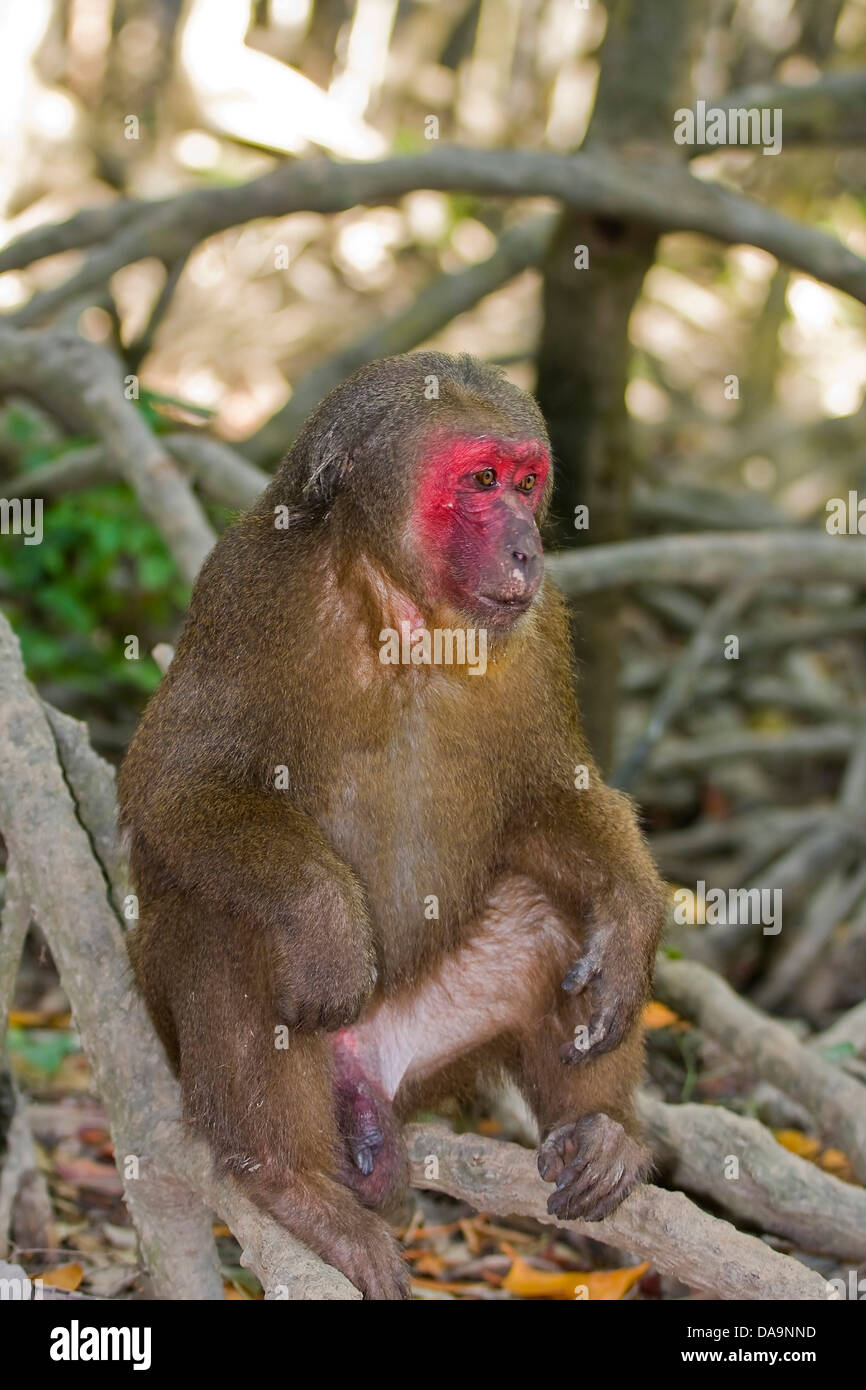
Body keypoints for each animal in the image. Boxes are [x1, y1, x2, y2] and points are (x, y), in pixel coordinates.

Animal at [117, 351, 666, 1301]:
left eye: (527, 482)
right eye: (481, 482)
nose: (527, 547)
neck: (406, 613)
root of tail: (363, 1071)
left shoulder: (542, 626)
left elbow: (547, 802)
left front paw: (632, 920)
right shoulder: (249, 590)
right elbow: (172, 794)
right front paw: (327, 921)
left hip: (421, 1055)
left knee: (554, 915)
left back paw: (599, 1128)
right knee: (228, 914)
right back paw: (291, 1183)